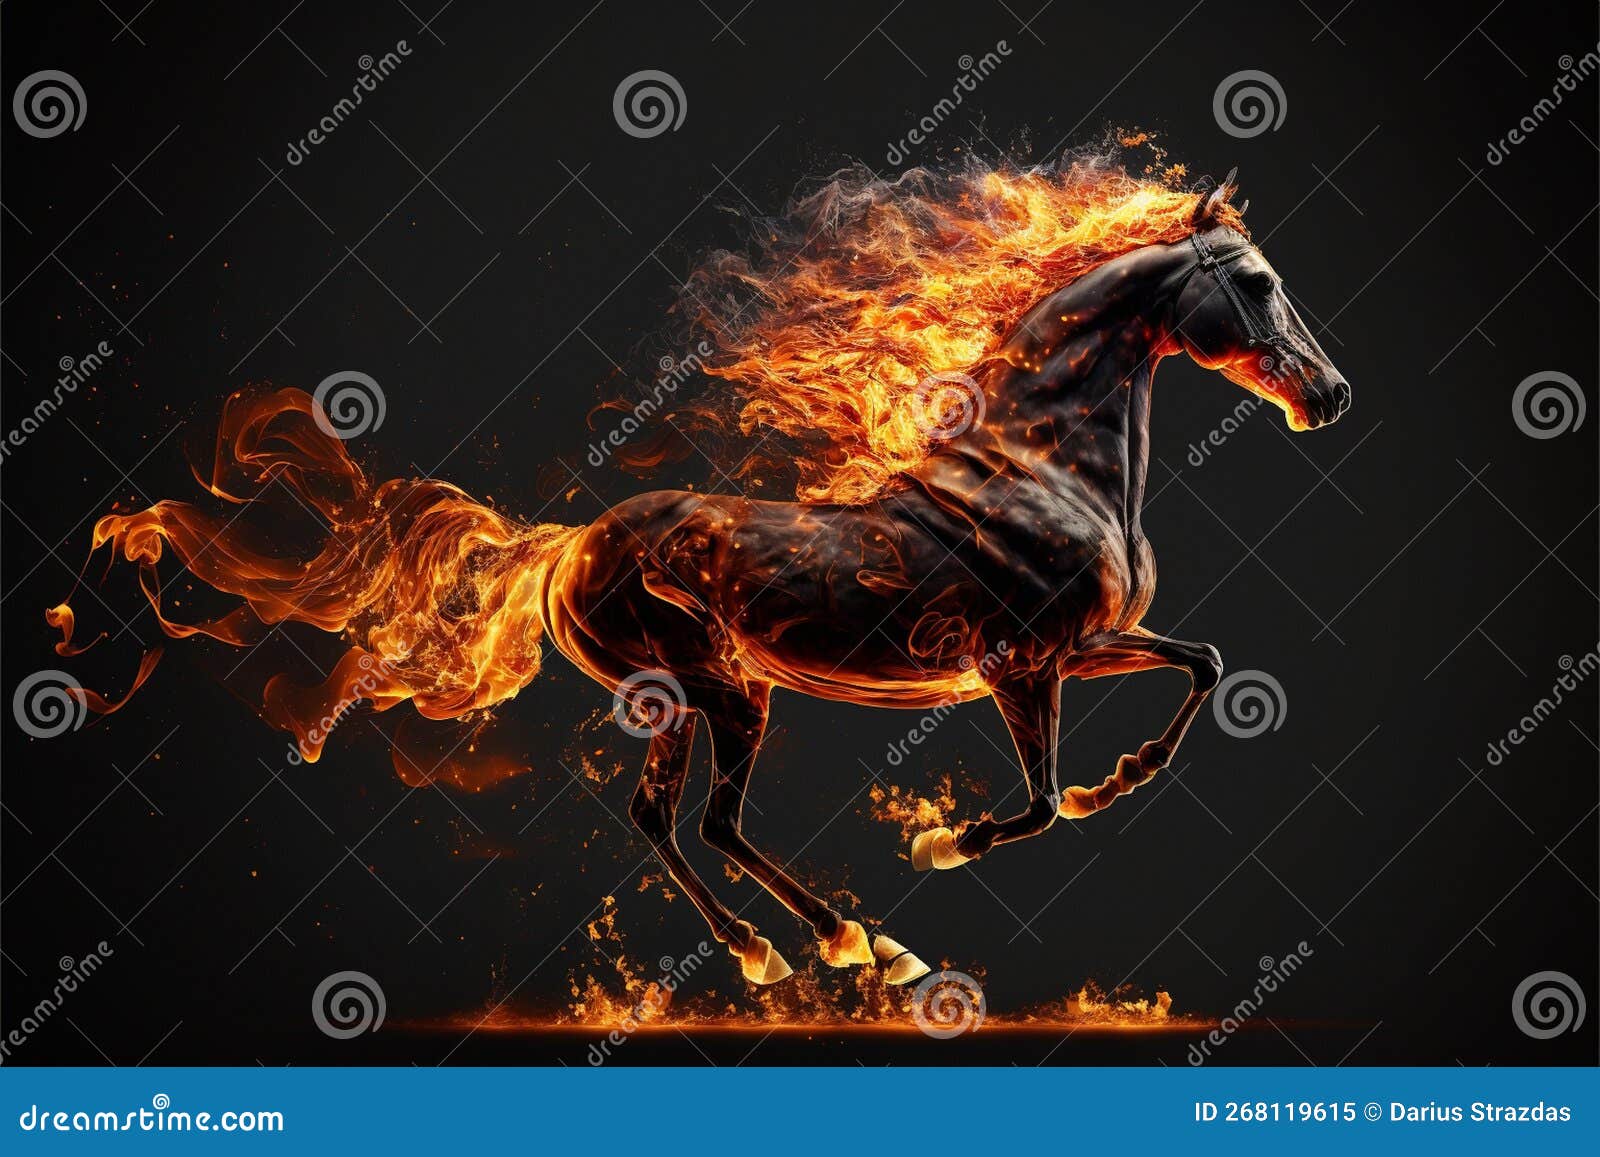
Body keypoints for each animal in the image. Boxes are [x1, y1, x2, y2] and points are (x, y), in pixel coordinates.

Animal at [58, 168, 1349, 990]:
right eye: (1254, 279)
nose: (1327, 392)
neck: (1044, 464)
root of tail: (568, 547)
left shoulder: (1083, 648)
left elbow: (1201, 666)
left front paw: (1110, 780)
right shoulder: (1020, 665)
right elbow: (1029, 803)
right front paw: (949, 841)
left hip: (689, 697)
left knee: (664, 818)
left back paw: (776, 949)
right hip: (722, 687)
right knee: (712, 819)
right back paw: (848, 943)